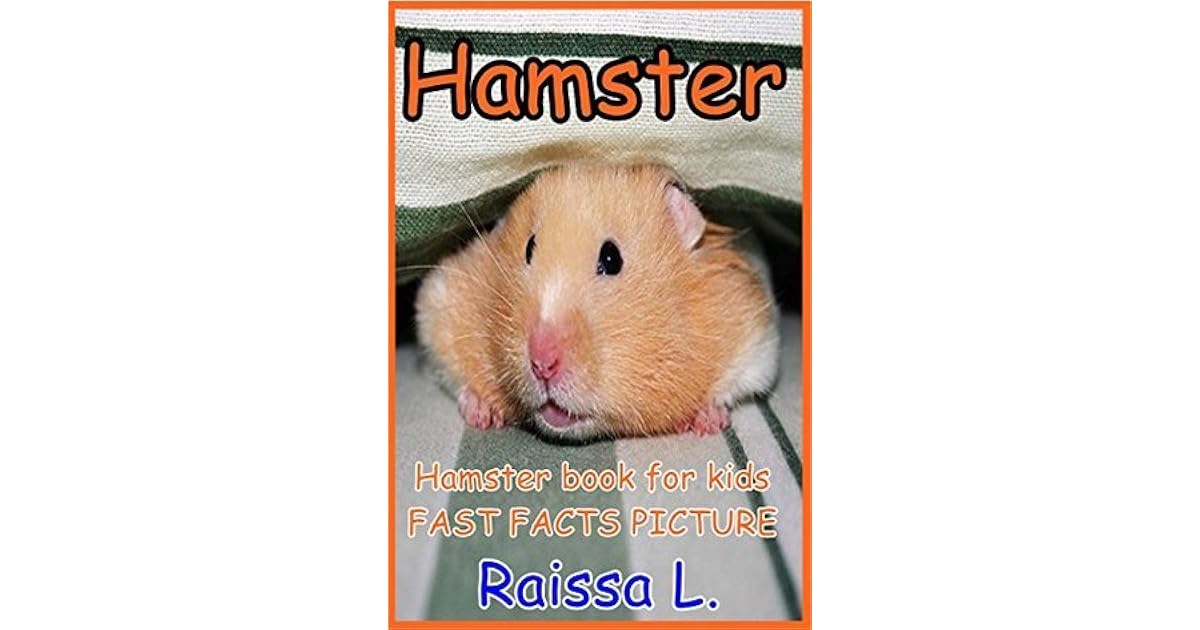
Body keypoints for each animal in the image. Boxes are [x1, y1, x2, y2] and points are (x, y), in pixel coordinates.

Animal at [415, 164, 779, 441]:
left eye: (611, 258)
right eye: (529, 248)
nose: (542, 363)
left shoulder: (755, 332)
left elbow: (738, 380)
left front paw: (705, 422)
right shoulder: (439, 304)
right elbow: (449, 367)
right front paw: (481, 413)